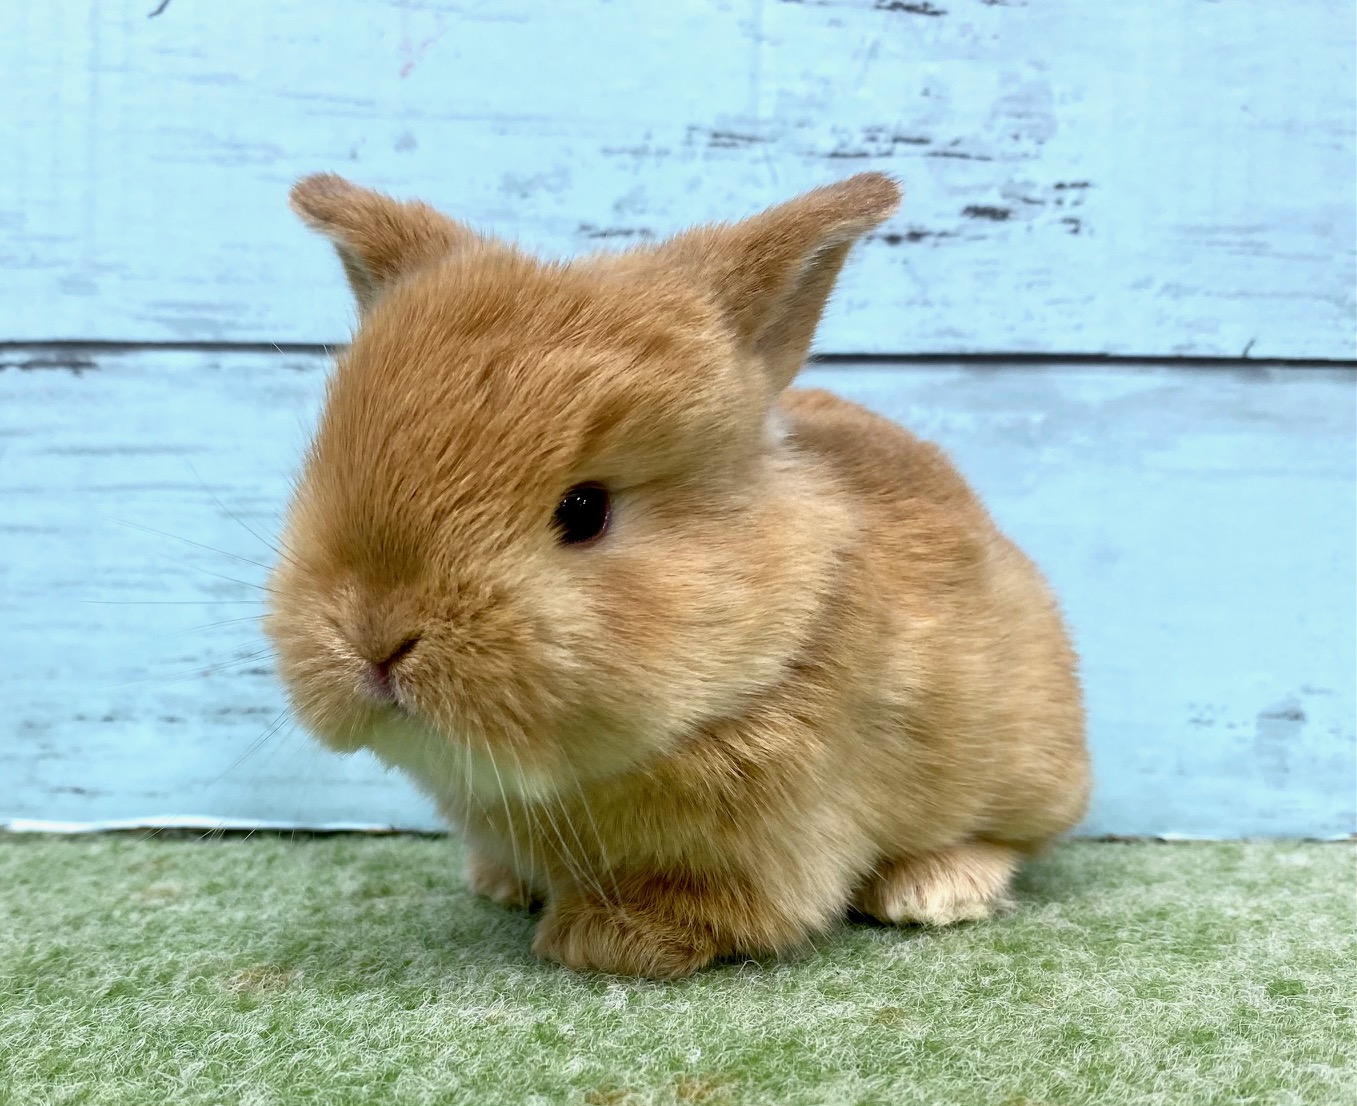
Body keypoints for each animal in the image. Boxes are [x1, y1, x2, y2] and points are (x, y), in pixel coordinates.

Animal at [265, 170, 1090, 979]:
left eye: (583, 510)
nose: (376, 639)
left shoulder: (774, 843)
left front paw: (605, 940)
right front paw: (508, 884)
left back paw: (935, 890)